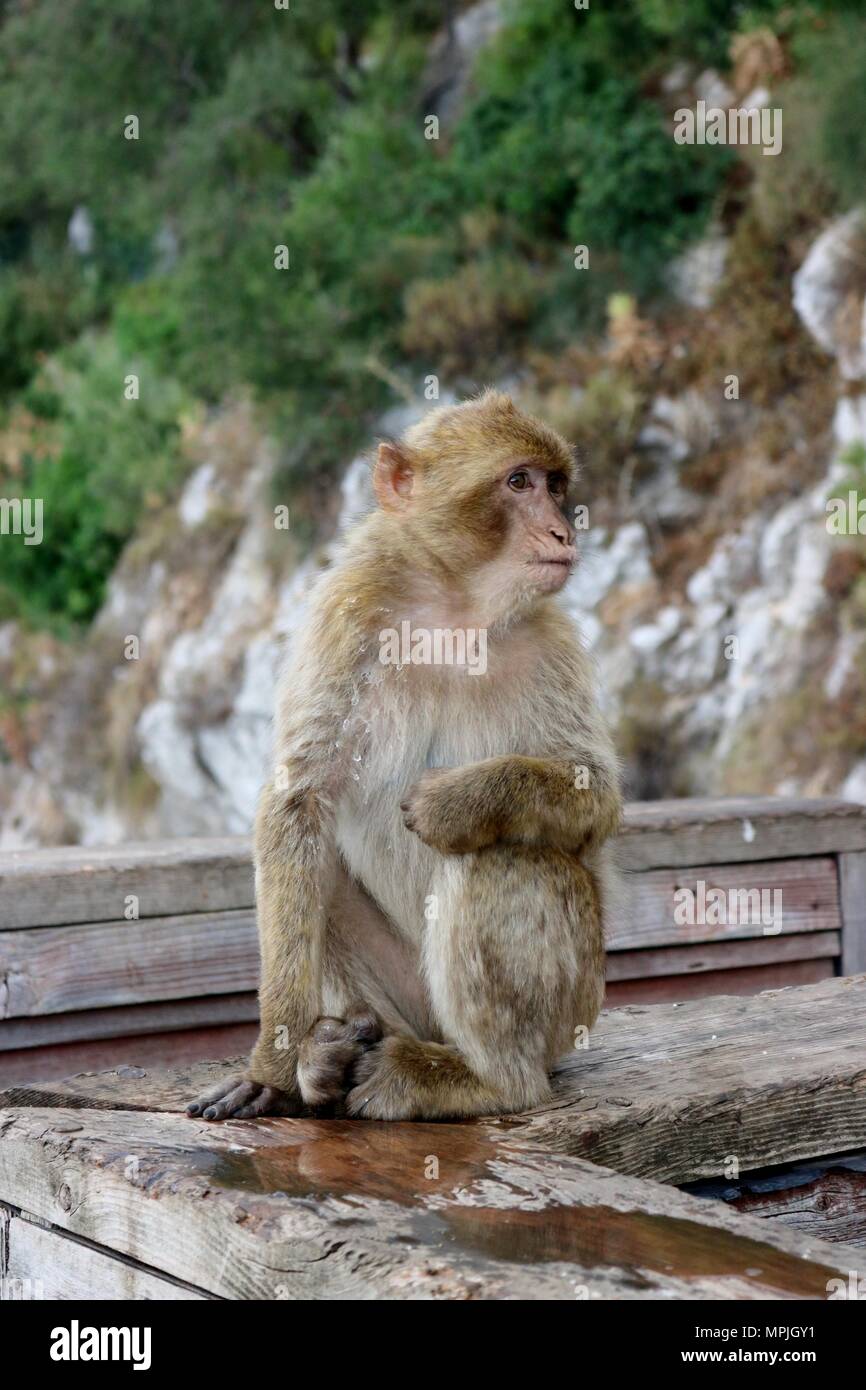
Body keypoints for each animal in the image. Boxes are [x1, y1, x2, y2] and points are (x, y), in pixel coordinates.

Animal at [186, 390, 623, 1123]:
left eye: (557, 486)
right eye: (519, 482)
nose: (562, 533)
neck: (456, 609)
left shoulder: (553, 640)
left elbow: (596, 797)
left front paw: (464, 799)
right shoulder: (346, 613)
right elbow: (298, 802)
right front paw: (273, 1068)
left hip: (577, 1005)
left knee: (496, 857)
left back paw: (488, 1081)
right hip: (404, 999)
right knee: (317, 864)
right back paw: (331, 1059)